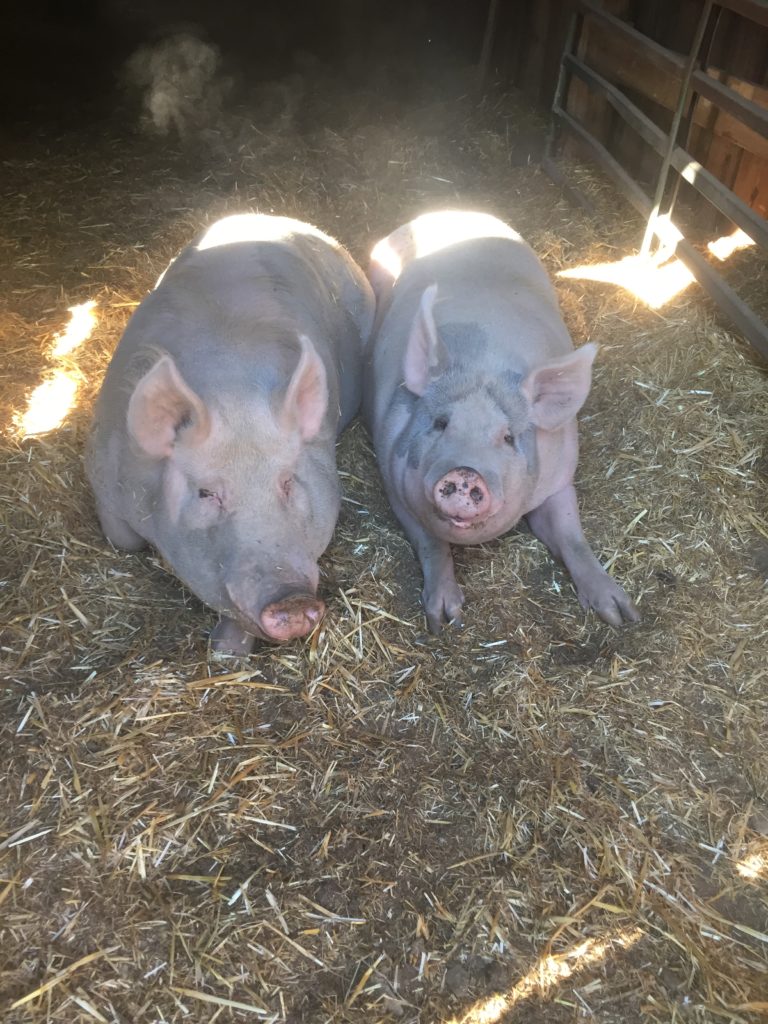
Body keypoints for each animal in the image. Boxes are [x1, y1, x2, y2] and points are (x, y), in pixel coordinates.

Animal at [86, 213, 374, 653]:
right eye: (206, 493)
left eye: (288, 482)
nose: (291, 600)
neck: (230, 389)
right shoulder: (101, 469)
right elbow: (123, 540)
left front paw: (225, 651)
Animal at [363, 210, 639, 633]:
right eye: (440, 423)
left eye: (508, 437)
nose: (465, 473)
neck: (484, 360)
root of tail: (448, 210)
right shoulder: (393, 482)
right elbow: (430, 543)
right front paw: (445, 618)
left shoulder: (560, 477)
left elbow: (572, 538)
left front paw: (621, 615)